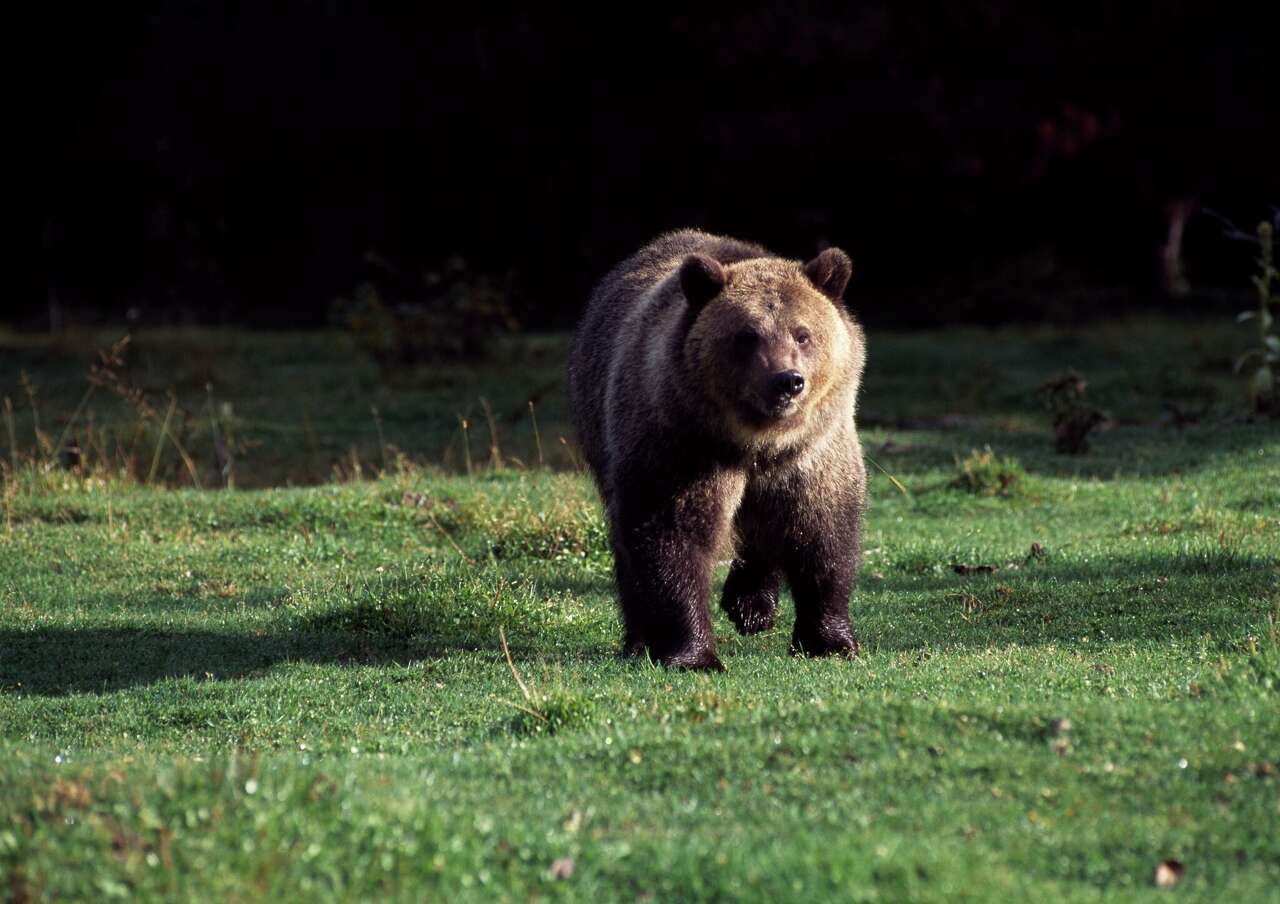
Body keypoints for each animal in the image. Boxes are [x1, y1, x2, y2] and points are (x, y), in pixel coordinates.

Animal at [568, 229, 867, 670]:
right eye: (747, 335)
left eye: (803, 333)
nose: (787, 381)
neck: (757, 441)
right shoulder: (683, 445)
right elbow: (673, 535)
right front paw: (692, 654)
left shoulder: (812, 452)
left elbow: (821, 532)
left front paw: (829, 640)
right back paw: (639, 638)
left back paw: (752, 605)